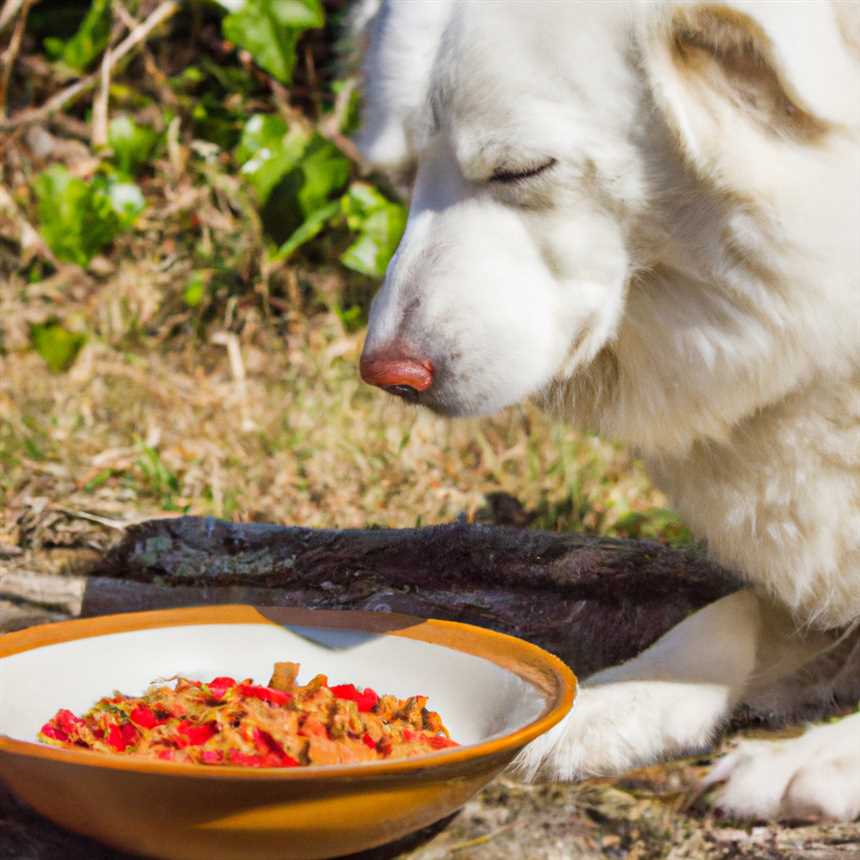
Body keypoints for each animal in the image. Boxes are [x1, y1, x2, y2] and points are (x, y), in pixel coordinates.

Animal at [354, 0, 860, 820]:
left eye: (521, 170)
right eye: (402, 175)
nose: (388, 374)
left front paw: (819, 757)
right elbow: (734, 610)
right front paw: (607, 702)